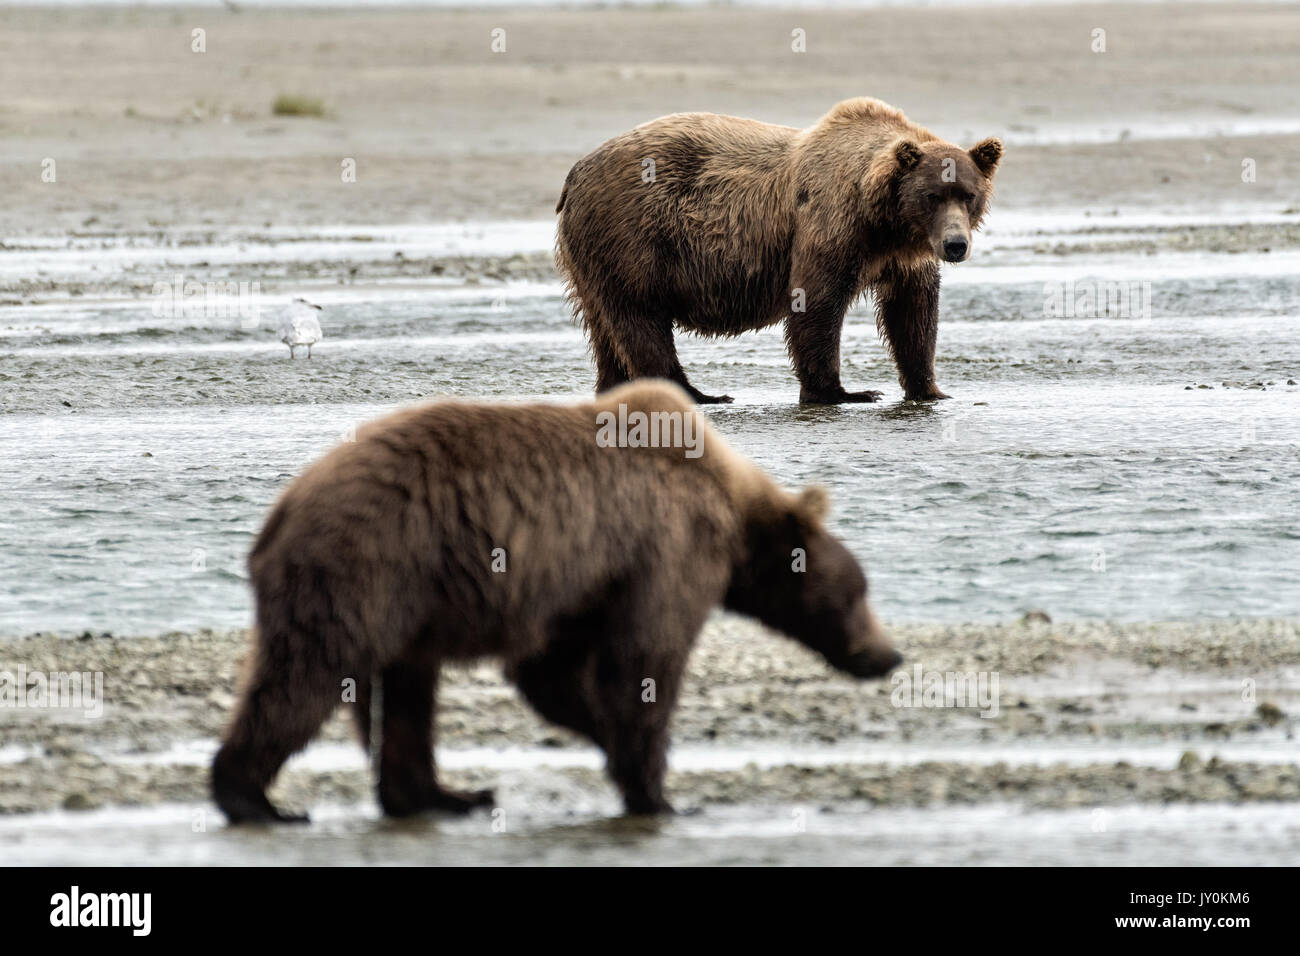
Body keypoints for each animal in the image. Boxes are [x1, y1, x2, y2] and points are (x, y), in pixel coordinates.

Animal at [211, 380, 900, 822]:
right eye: (860, 593)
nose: (889, 656)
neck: (734, 512)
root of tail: (282, 510)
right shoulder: (663, 551)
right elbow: (644, 663)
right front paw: (655, 789)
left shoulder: (585, 582)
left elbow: (551, 673)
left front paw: (611, 745)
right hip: (370, 563)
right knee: (307, 672)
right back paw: (256, 800)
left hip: (410, 595)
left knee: (404, 689)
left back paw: (446, 796)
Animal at [554, 97, 1002, 404]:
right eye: (932, 196)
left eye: (968, 194)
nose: (956, 244)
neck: (884, 222)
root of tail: (575, 172)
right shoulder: (829, 226)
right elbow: (817, 301)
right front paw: (843, 392)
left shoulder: (904, 257)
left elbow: (913, 313)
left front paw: (930, 389)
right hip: (633, 235)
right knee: (641, 317)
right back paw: (700, 393)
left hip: (589, 257)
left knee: (604, 326)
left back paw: (615, 388)